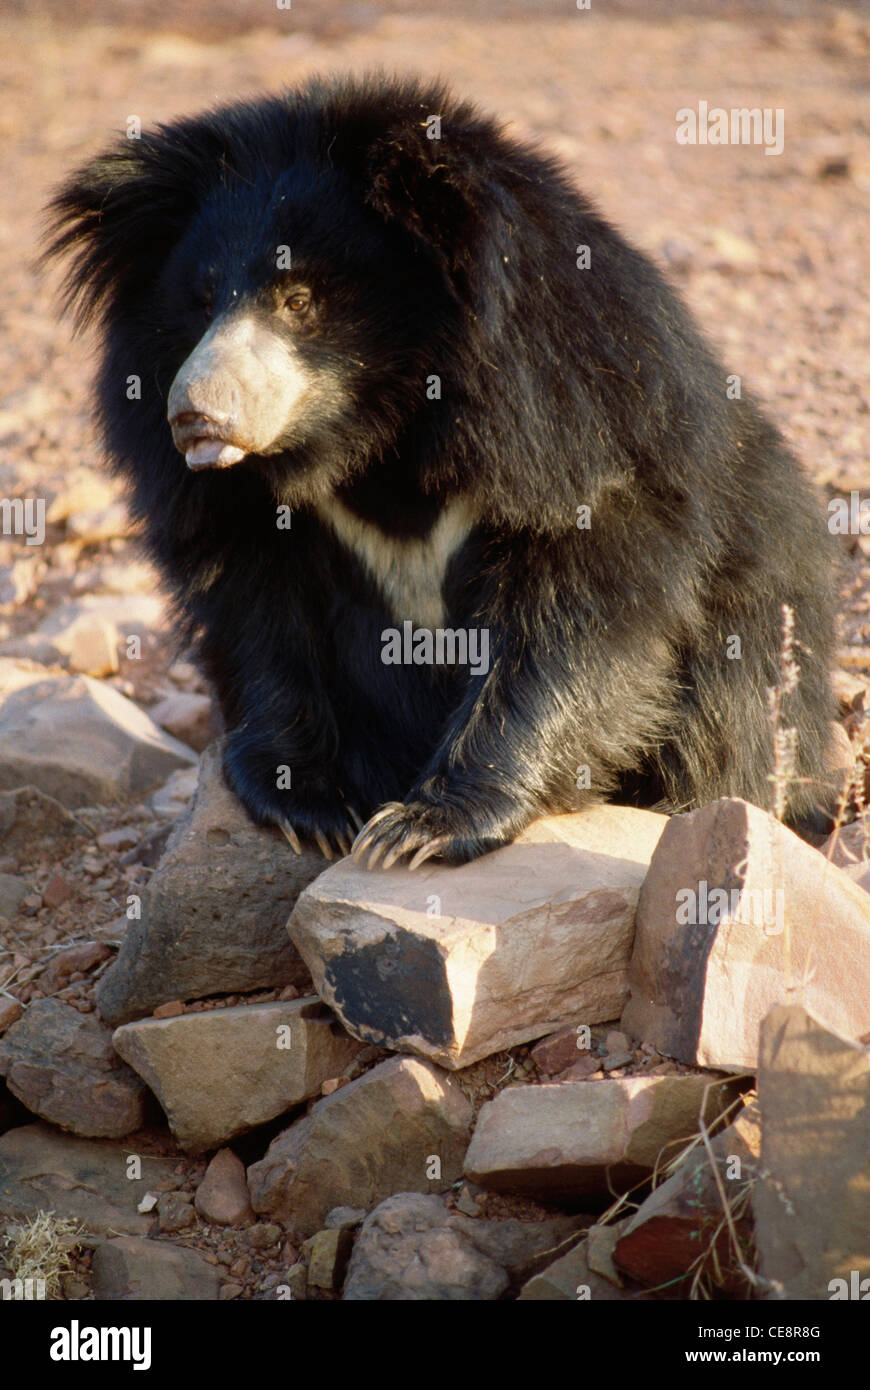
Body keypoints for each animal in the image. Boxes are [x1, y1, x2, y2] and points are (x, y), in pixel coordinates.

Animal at [44, 72, 839, 869]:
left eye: (299, 300)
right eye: (202, 300)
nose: (193, 413)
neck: (372, 433)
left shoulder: (575, 429)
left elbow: (580, 608)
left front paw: (421, 827)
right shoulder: (240, 510)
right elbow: (255, 613)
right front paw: (312, 804)